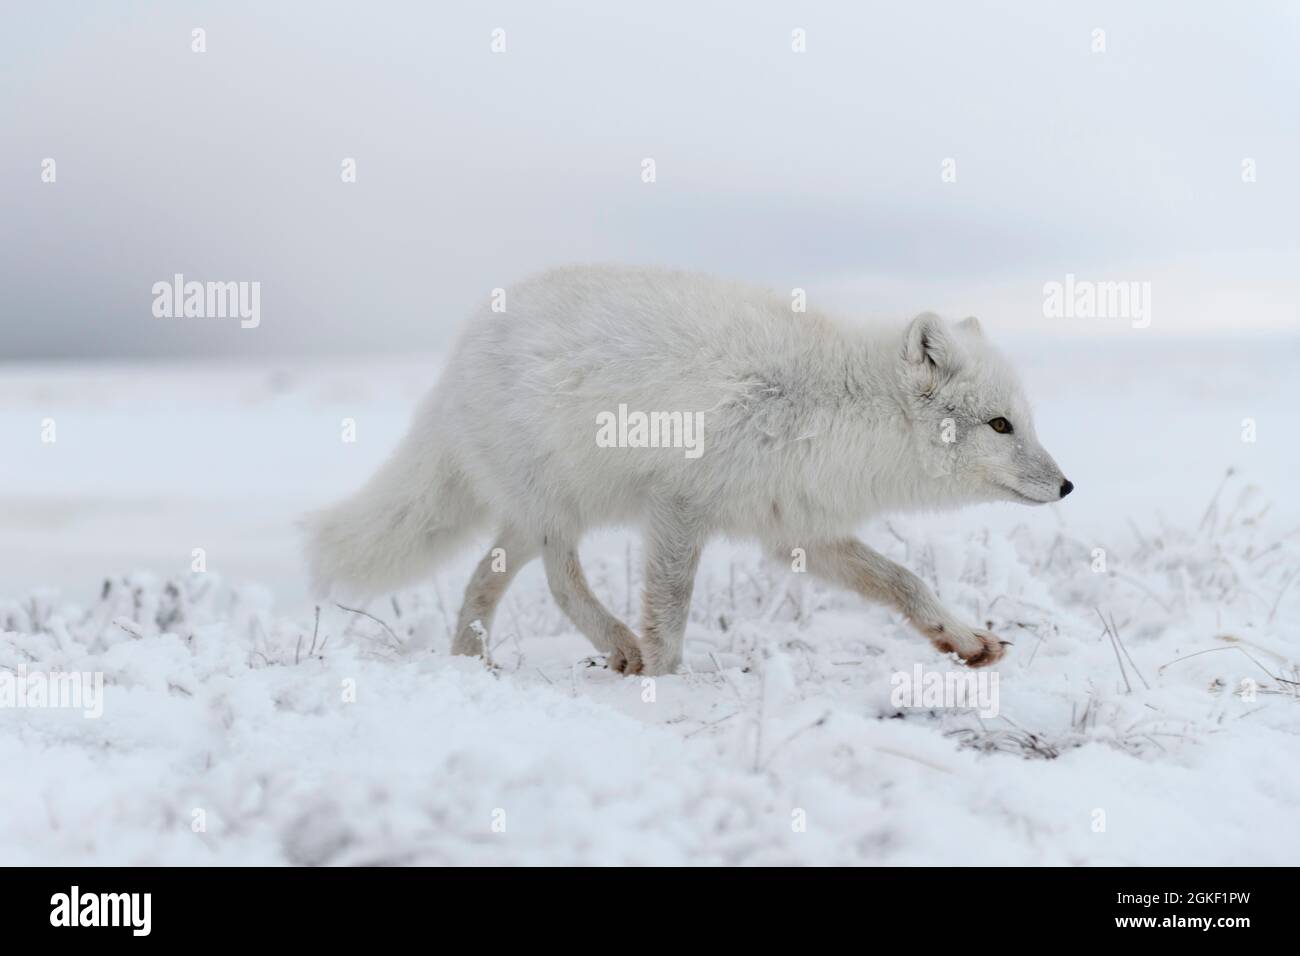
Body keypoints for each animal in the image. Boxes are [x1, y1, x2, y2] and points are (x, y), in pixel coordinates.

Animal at [305, 264, 1072, 675]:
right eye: (1001, 426)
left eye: (1023, 422)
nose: (1068, 486)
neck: (833, 406)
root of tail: (456, 354)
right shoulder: (679, 506)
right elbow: (669, 613)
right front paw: (663, 683)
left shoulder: (798, 530)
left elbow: (906, 581)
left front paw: (964, 639)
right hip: (560, 506)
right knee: (559, 580)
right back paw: (616, 646)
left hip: (540, 512)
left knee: (483, 577)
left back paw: (470, 658)